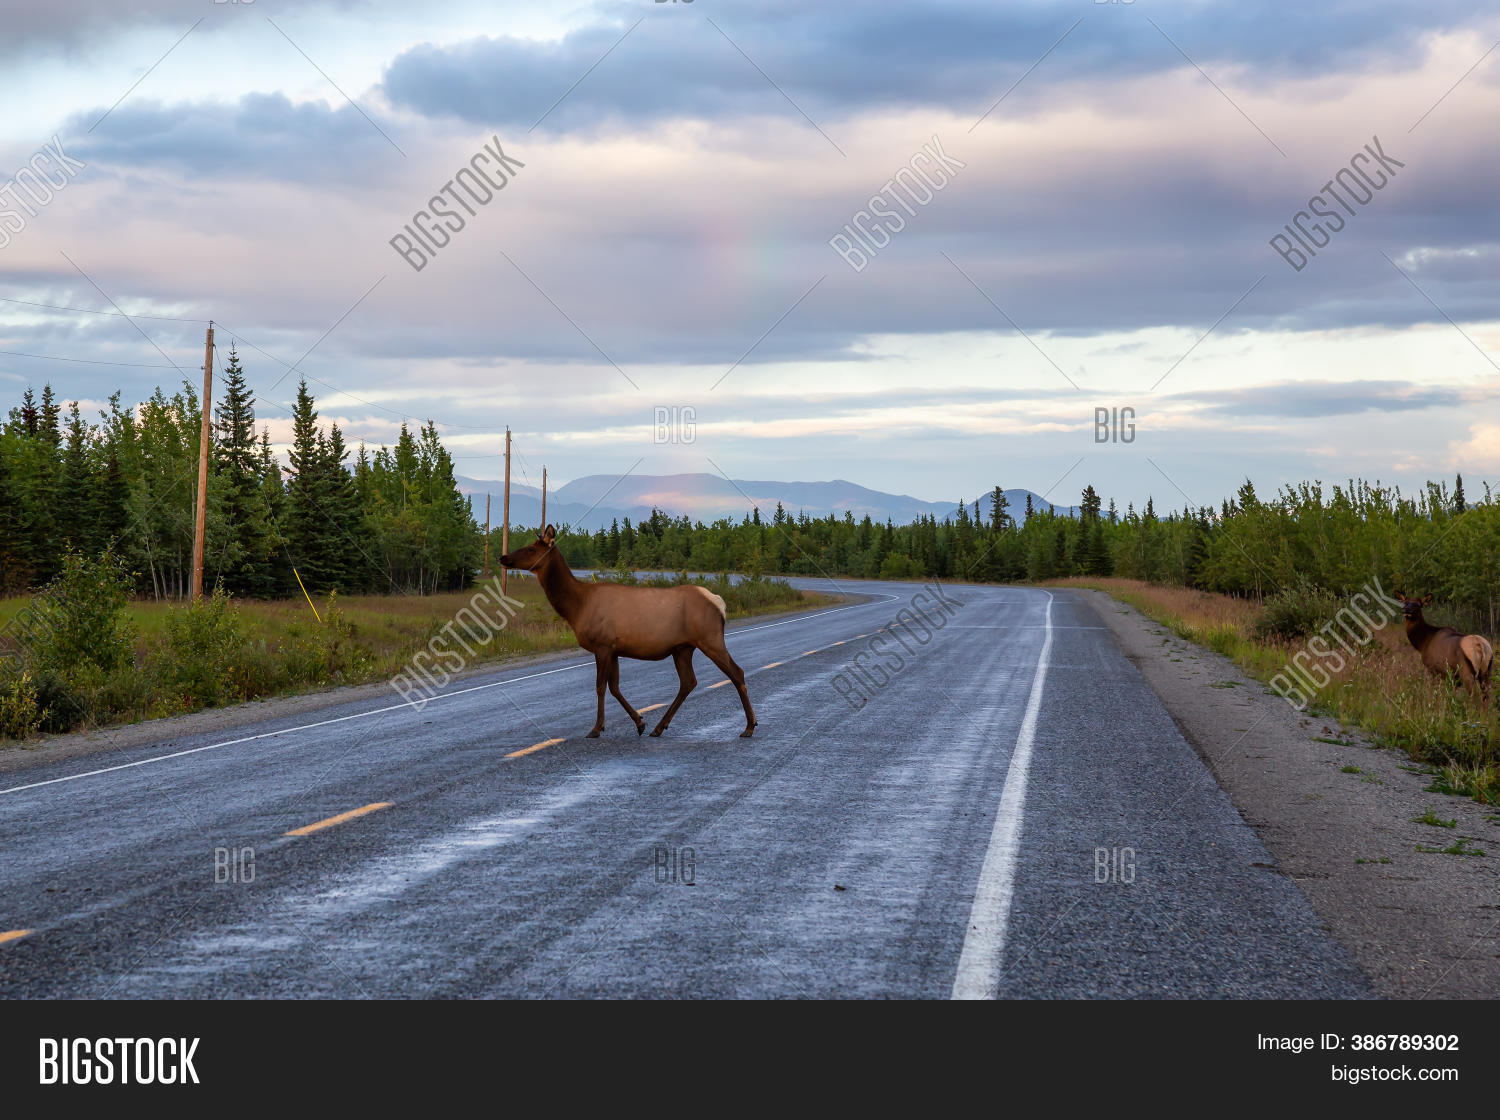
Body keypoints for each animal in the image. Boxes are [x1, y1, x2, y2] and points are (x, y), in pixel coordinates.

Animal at [500, 526, 758, 738]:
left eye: (531, 548)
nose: (503, 557)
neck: (576, 607)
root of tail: (719, 603)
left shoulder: (602, 645)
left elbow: (600, 687)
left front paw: (596, 728)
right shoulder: (614, 649)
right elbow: (615, 688)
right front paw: (640, 723)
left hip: (710, 638)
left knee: (736, 672)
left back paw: (749, 726)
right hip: (683, 648)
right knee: (688, 682)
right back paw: (659, 727)